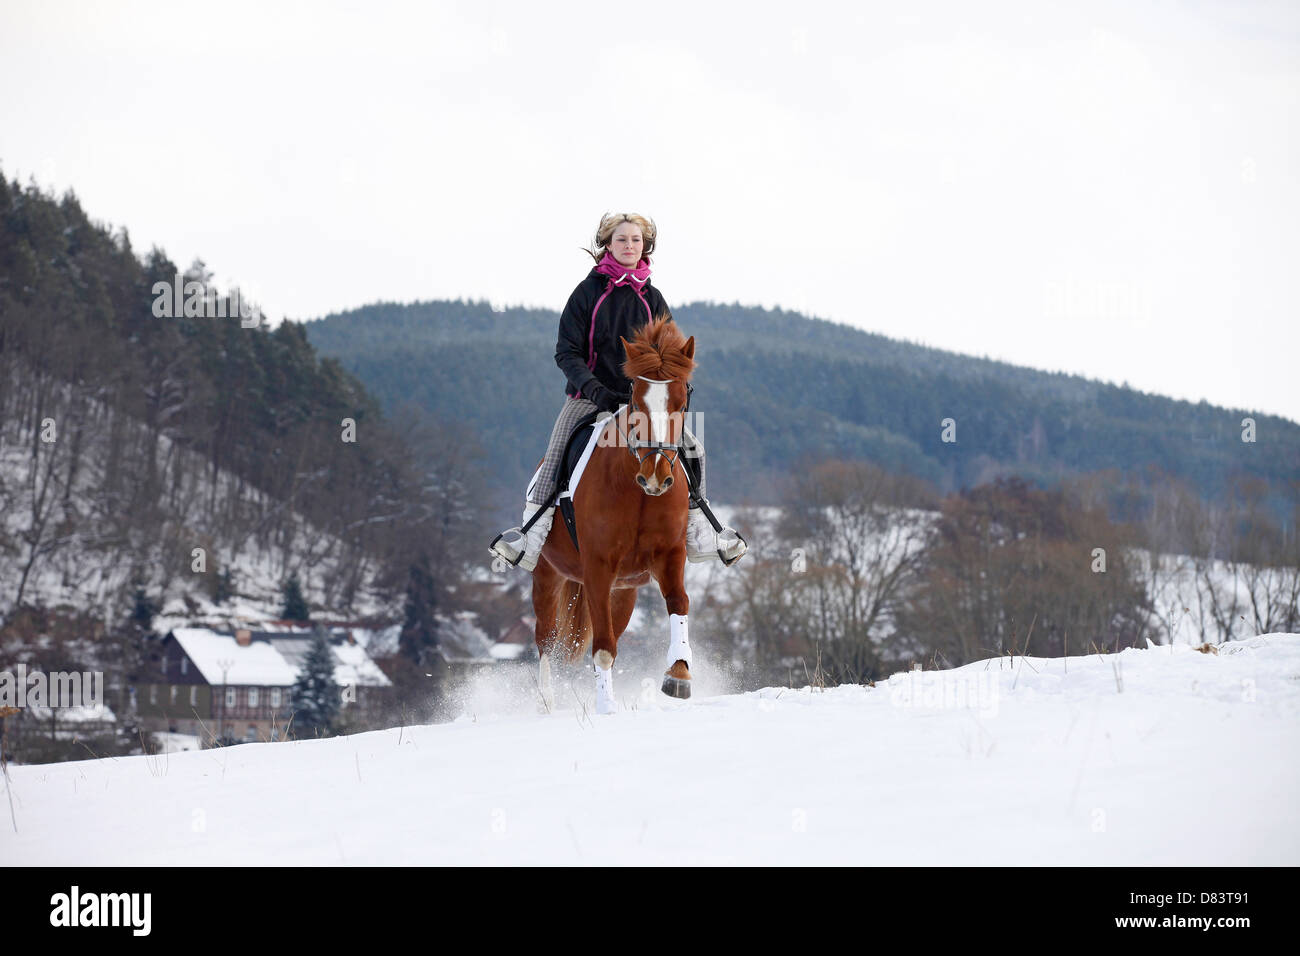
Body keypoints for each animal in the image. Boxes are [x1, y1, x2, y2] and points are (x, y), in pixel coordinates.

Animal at [531, 314, 698, 715]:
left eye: (682, 400)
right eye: (636, 400)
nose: (656, 475)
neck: (638, 493)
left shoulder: (670, 556)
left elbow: (679, 603)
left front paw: (679, 674)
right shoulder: (597, 567)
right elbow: (603, 646)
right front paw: (606, 708)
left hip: (623, 592)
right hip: (548, 574)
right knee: (546, 637)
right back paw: (547, 700)